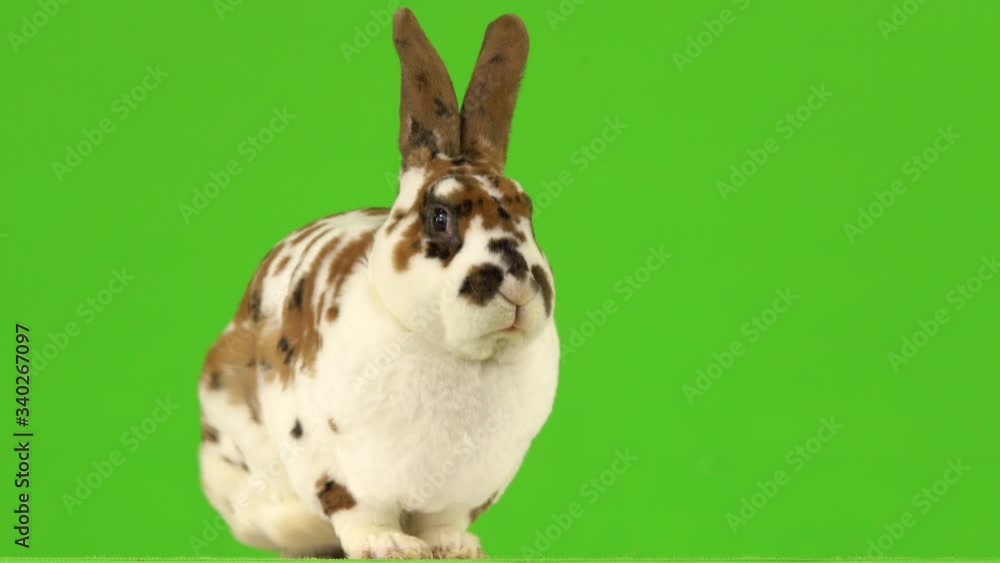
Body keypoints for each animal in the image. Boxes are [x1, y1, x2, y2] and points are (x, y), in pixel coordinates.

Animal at [197, 7, 558, 559]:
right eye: (439, 217)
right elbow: (358, 512)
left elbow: (444, 521)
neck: (462, 357)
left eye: (527, 210)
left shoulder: (467, 487)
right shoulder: (335, 464)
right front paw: (388, 545)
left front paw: (454, 546)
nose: (517, 287)